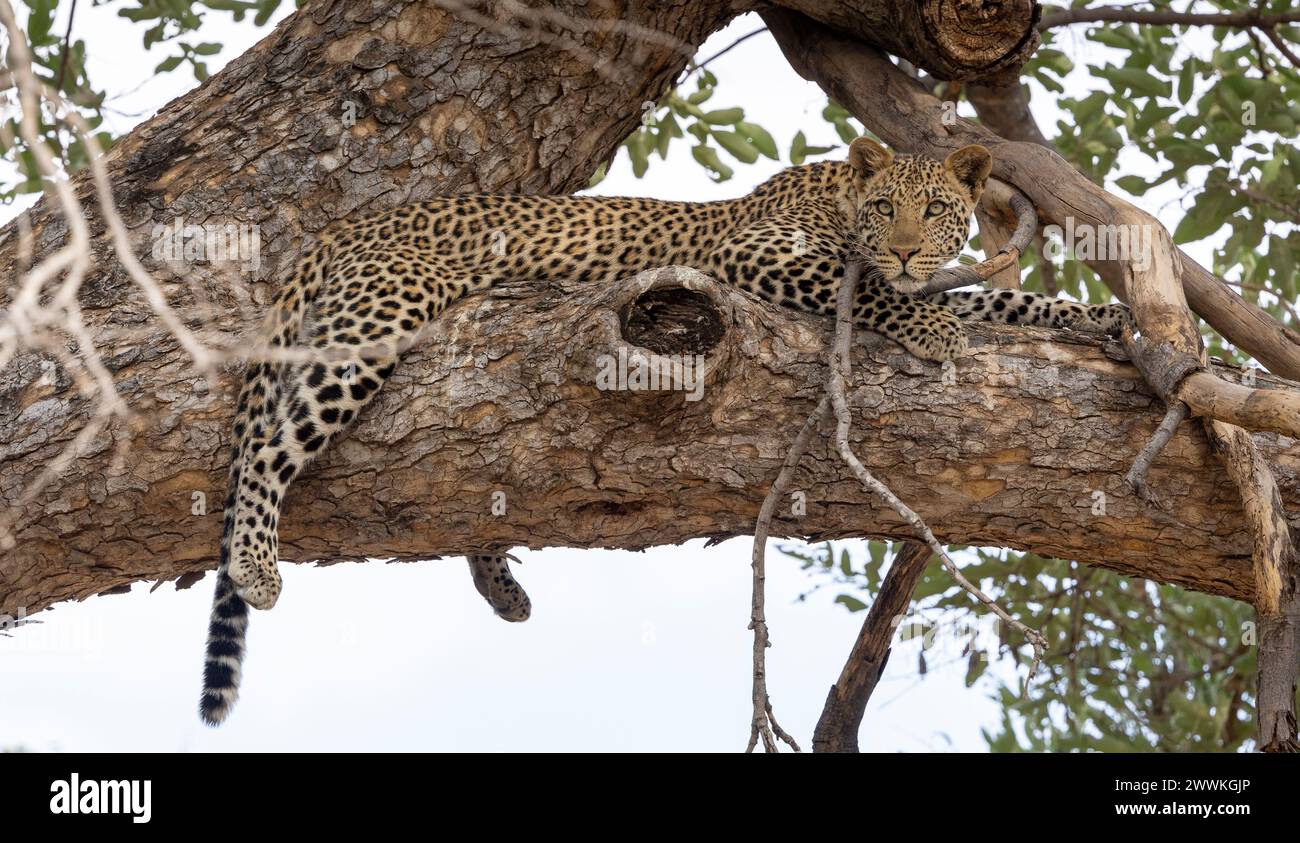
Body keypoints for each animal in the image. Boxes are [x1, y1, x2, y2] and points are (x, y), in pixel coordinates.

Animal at [199, 136, 1130, 725]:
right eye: (883, 205)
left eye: (935, 208)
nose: (904, 248)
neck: (838, 202)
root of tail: (343, 227)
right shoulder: (756, 256)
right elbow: (878, 292)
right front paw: (930, 325)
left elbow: (1003, 299)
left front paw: (1103, 318)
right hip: (376, 319)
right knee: (262, 448)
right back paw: (256, 565)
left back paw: (500, 585)